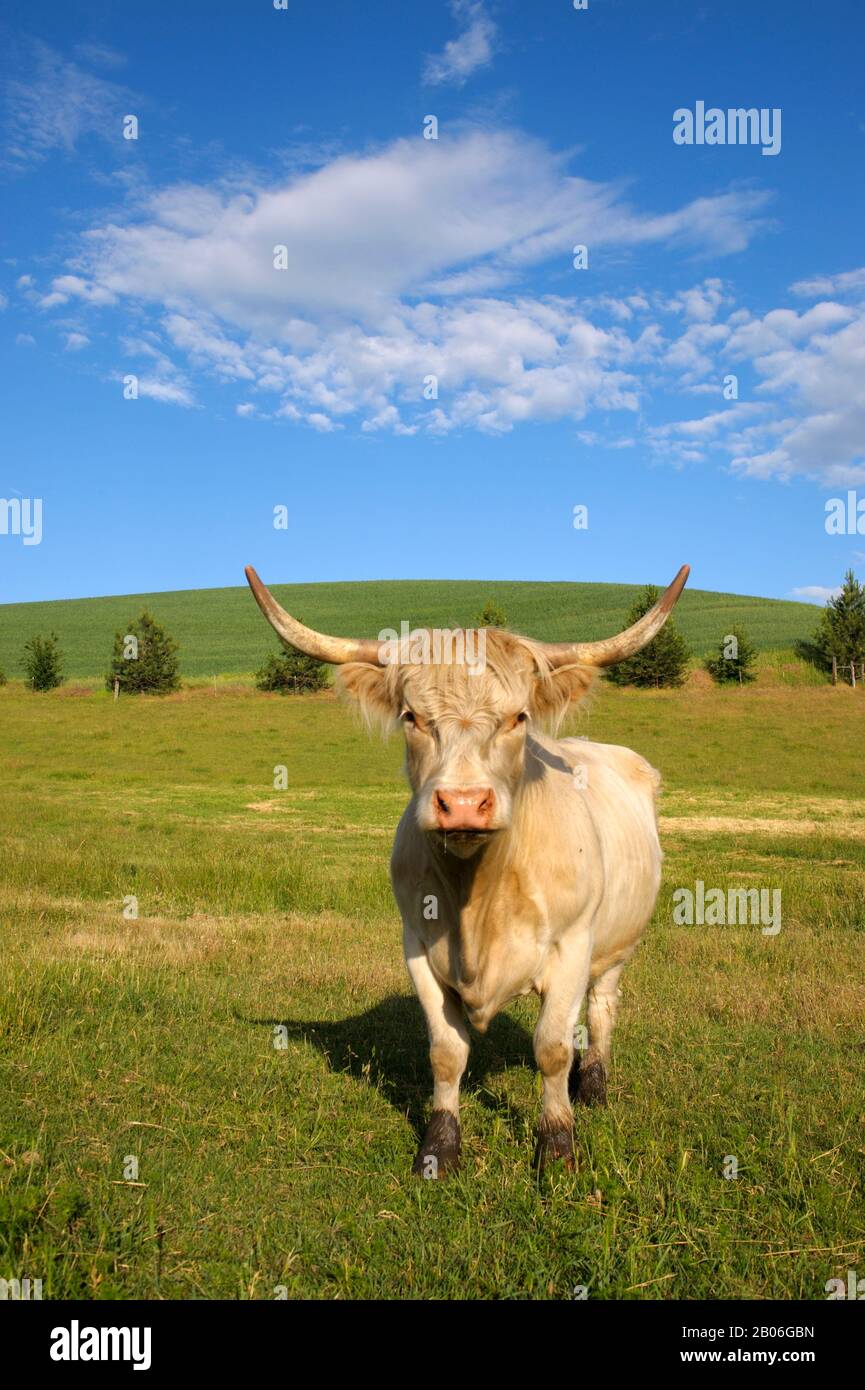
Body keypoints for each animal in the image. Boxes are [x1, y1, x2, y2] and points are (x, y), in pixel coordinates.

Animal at [245, 563, 690, 1176]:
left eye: (518, 718)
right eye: (412, 717)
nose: (462, 804)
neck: (478, 898)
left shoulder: (572, 946)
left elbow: (552, 1048)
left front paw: (557, 1145)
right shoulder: (418, 947)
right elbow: (446, 1052)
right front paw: (439, 1146)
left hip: (617, 946)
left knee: (600, 1011)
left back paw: (595, 1085)